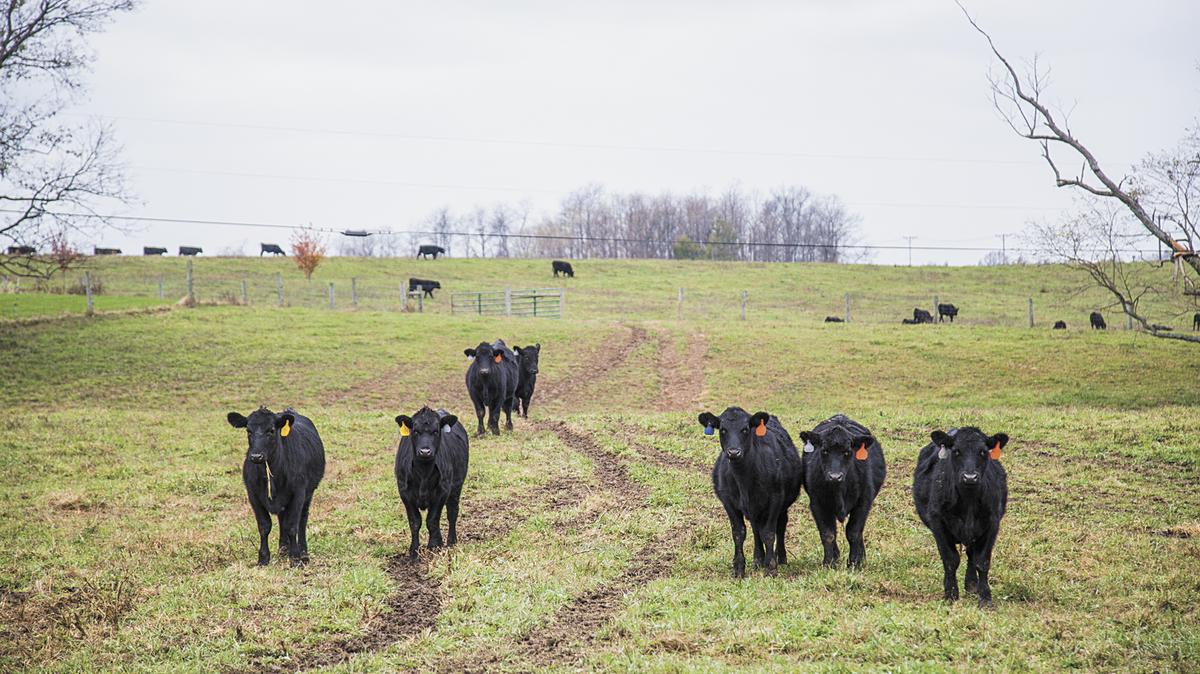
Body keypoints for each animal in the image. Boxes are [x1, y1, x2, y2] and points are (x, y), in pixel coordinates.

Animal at [226, 407, 326, 567]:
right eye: (248, 431)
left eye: (271, 430)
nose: (256, 456)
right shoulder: (253, 494)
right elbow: (264, 526)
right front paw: (263, 558)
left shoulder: (298, 493)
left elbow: (292, 526)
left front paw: (295, 558)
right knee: (282, 518)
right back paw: (283, 549)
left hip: (308, 493)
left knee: (302, 520)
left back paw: (303, 553)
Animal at [394, 407, 469, 559]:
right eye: (415, 431)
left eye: (436, 431)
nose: (425, 451)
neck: (423, 473)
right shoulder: (405, 493)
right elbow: (415, 522)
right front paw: (414, 551)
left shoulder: (442, 492)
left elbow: (432, 521)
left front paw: (434, 547)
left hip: (456, 487)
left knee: (452, 512)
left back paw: (451, 541)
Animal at [699, 407, 803, 577]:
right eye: (723, 429)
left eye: (745, 429)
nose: (734, 452)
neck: (744, 480)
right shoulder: (728, 501)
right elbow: (739, 533)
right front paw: (739, 569)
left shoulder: (775, 499)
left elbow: (769, 533)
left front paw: (771, 568)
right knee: (755, 529)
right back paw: (758, 560)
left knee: (780, 526)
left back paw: (780, 558)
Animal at [798, 415, 887, 568]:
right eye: (824, 451)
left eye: (847, 452)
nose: (835, 476)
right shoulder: (817, 504)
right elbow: (828, 534)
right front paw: (829, 563)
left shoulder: (863, 502)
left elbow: (854, 532)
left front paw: (854, 563)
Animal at [913, 427, 1009, 608]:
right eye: (956, 451)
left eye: (983, 451)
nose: (970, 477)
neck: (968, 500)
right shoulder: (938, 523)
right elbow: (950, 560)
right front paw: (950, 594)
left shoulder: (992, 523)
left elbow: (981, 561)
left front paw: (985, 598)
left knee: (971, 554)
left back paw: (972, 585)